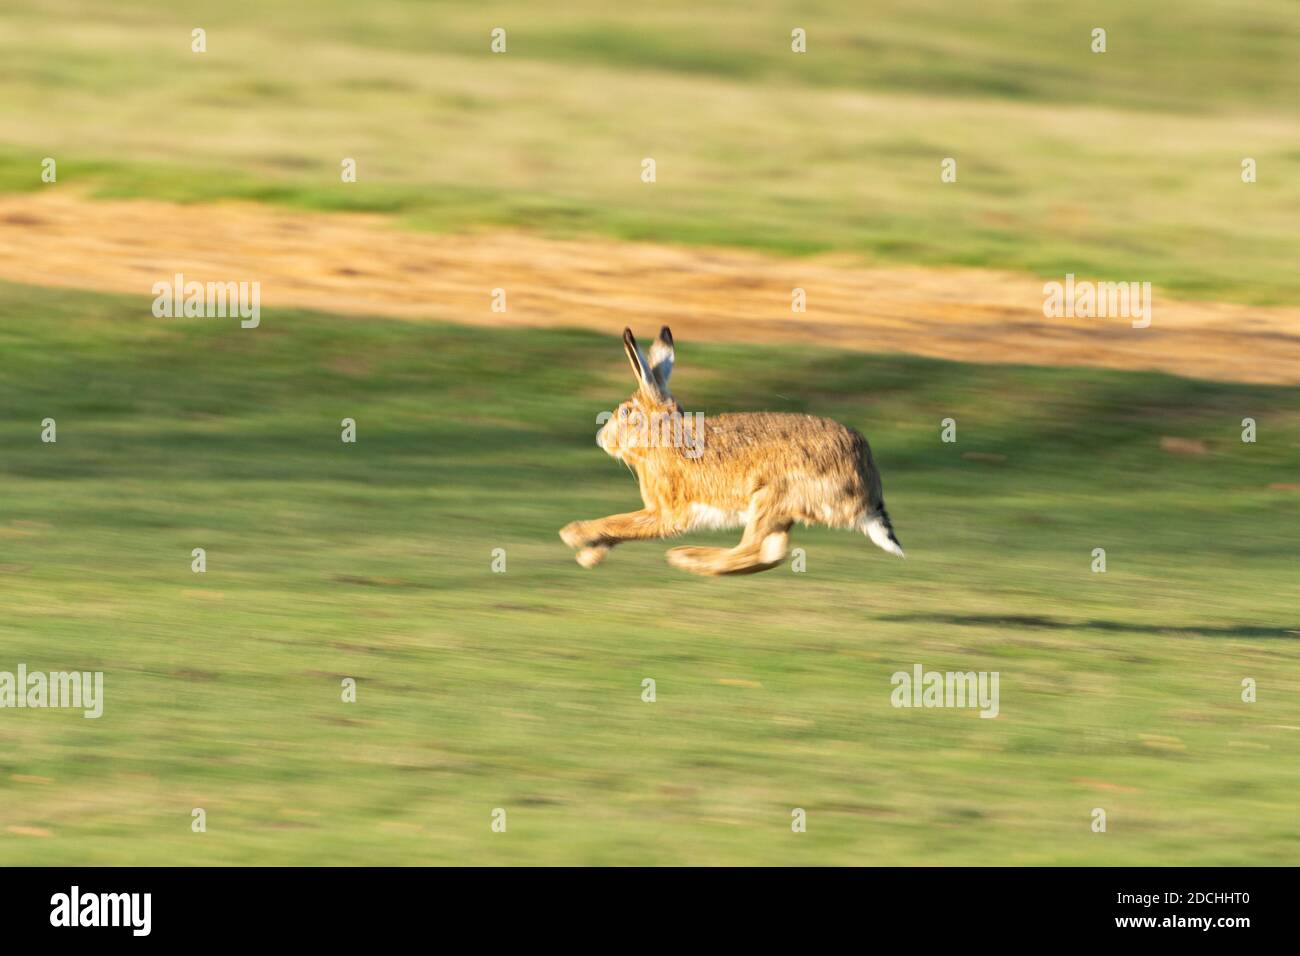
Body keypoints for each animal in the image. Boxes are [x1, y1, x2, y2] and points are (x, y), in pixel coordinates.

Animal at [559, 327, 904, 575]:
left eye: (627, 412)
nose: (602, 438)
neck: (661, 435)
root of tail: (869, 496)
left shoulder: (668, 511)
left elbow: (620, 522)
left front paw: (573, 535)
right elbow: (622, 526)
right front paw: (588, 556)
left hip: (772, 495)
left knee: (752, 549)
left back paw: (685, 558)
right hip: (780, 509)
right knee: (770, 553)